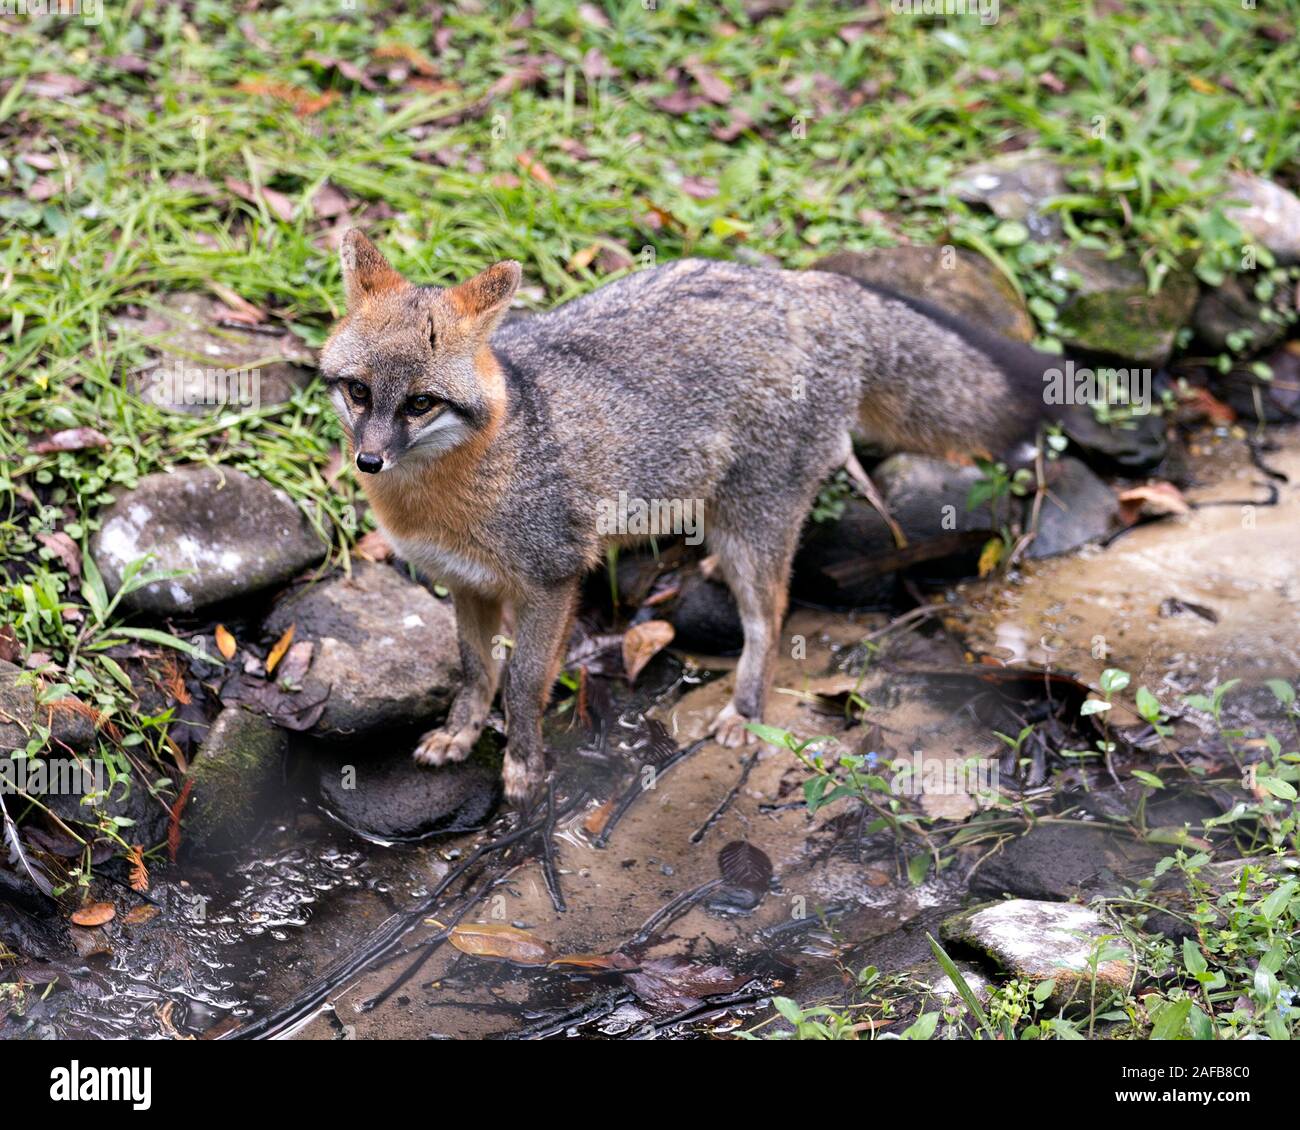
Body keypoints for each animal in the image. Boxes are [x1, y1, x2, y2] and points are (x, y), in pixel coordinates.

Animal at [321, 230, 1055, 806]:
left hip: (755, 528)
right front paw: (461, 732)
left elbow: (524, 685)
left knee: (771, 617)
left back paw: (744, 711)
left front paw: (524, 768)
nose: (369, 461)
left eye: (420, 403)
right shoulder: (467, 584)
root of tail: (808, 287)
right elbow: (477, 672)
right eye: (358, 391)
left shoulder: (552, 579)